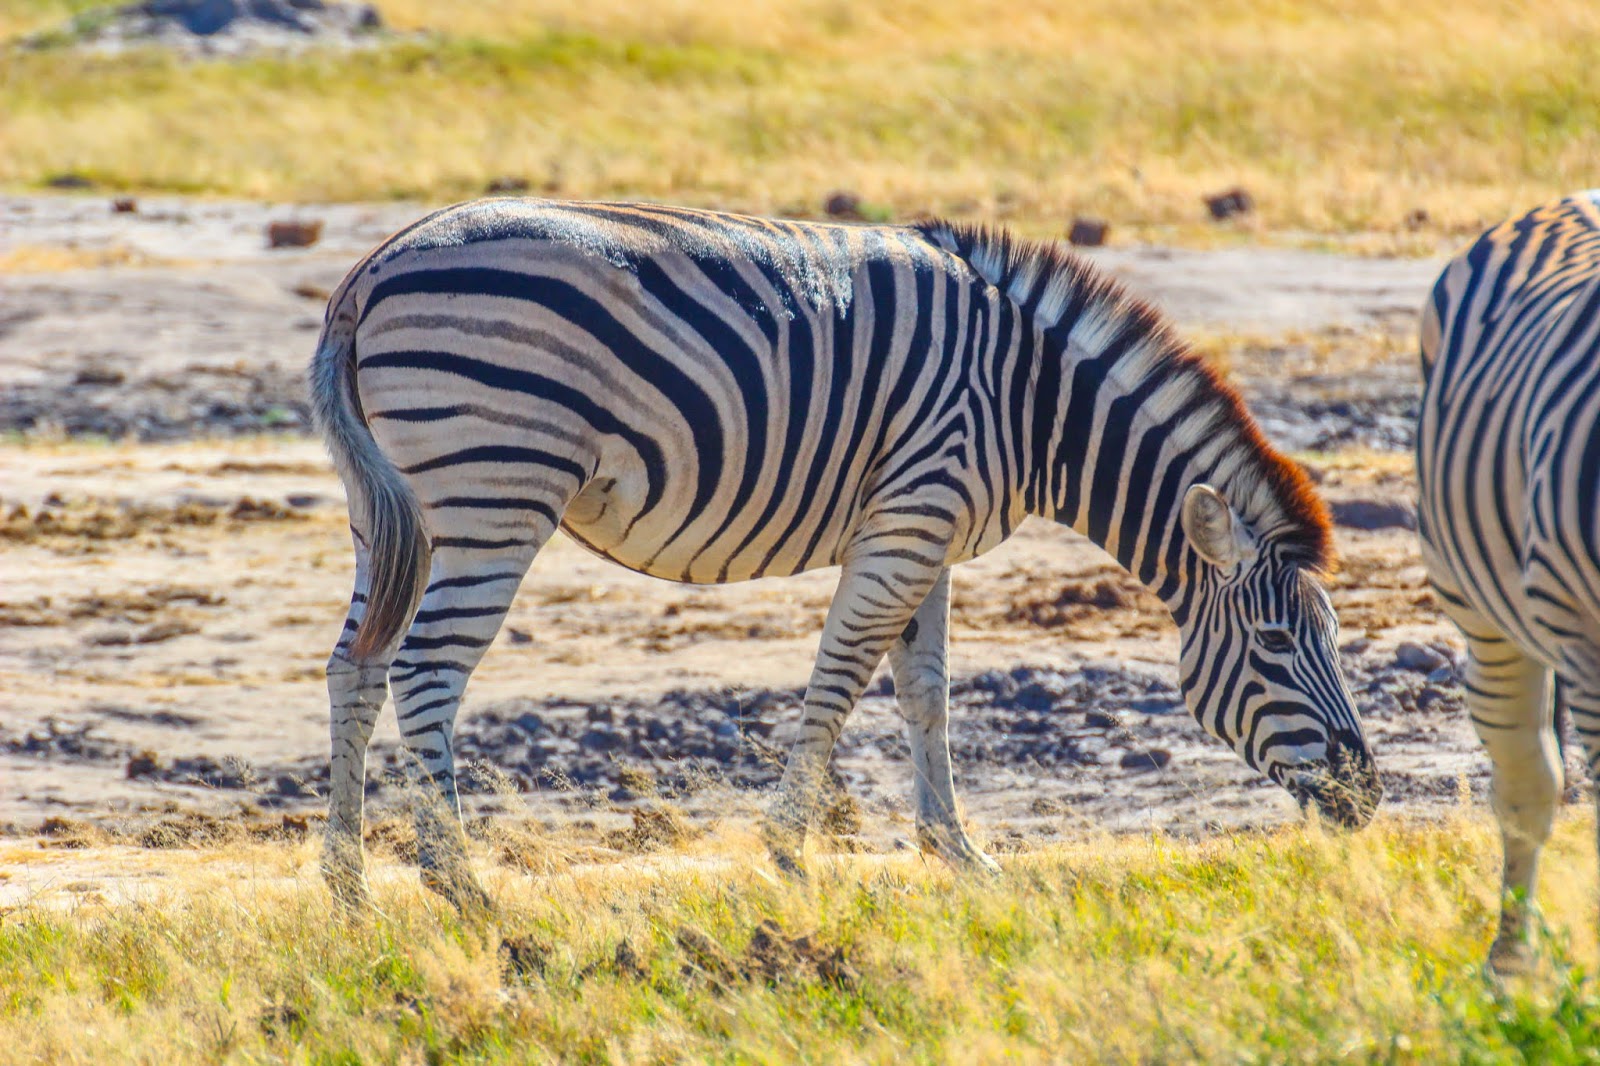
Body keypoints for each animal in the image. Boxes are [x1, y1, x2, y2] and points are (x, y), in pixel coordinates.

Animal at [310, 199, 1382, 909]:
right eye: (1279, 646)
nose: (1368, 798)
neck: (1034, 404)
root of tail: (371, 271)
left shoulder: (932, 536)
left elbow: (926, 692)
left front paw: (959, 853)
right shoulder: (911, 516)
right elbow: (840, 679)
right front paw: (789, 852)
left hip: (389, 510)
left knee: (357, 667)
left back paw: (349, 885)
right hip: (496, 489)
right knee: (428, 671)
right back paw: (462, 888)